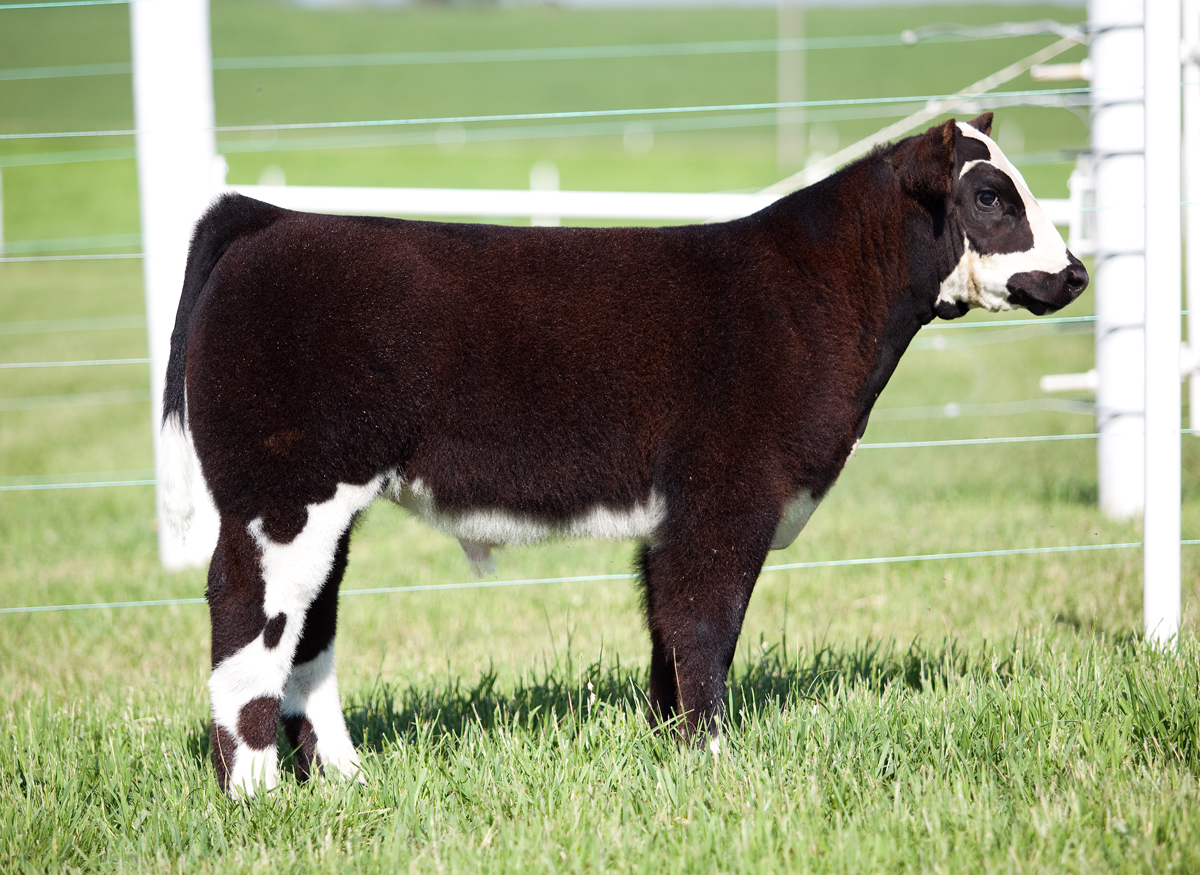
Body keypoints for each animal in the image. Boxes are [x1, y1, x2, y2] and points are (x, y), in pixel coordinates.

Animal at [160, 113, 1087, 796]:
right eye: (991, 195)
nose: (1076, 272)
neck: (813, 299)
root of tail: (270, 220)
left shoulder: (674, 514)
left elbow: (665, 637)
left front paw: (672, 748)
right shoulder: (725, 494)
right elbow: (706, 625)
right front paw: (714, 761)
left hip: (326, 504)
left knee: (311, 627)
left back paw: (347, 776)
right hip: (282, 494)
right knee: (246, 612)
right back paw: (255, 790)